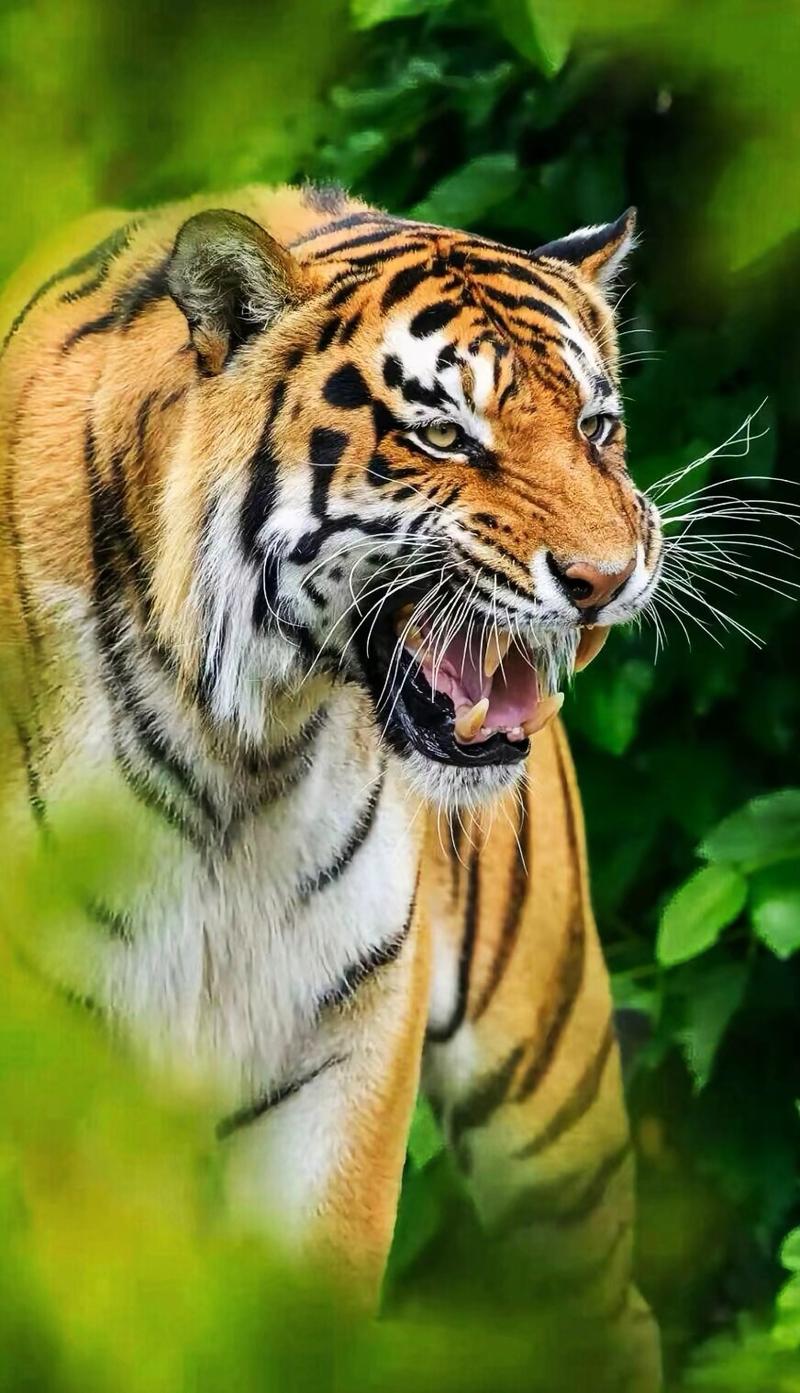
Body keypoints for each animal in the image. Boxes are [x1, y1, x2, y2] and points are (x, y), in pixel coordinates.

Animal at [0, 182, 664, 1390]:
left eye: (596, 427)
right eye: (443, 434)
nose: (606, 580)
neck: (242, 750)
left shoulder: (347, 1028)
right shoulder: (82, 1071)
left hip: (547, 1077)